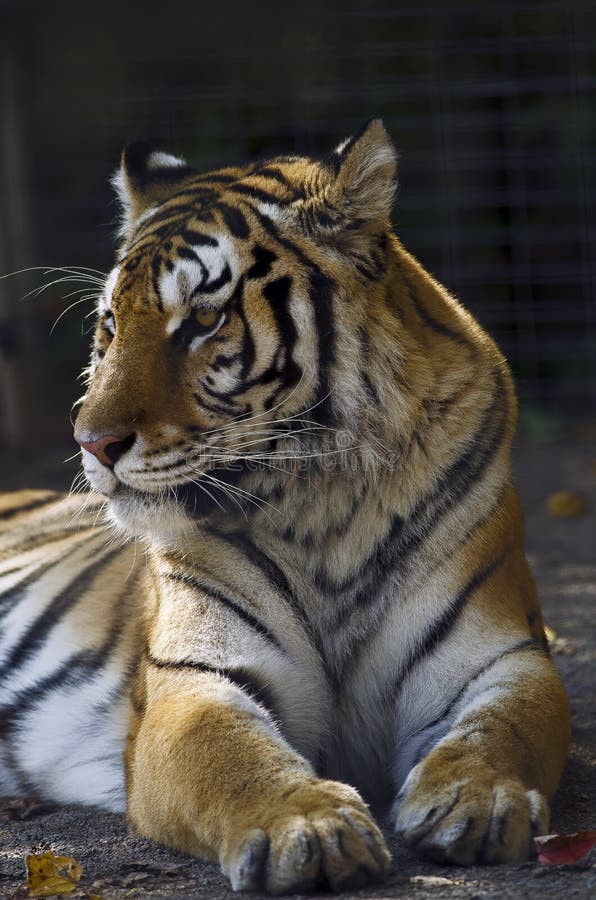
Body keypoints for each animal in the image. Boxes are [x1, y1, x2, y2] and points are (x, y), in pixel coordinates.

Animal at [0, 119, 570, 894]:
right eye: (111, 324)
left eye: (203, 319)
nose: (92, 442)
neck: (328, 507)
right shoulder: (194, 683)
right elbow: (232, 760)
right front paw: (307, 826)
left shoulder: (503, 656)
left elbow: (504, 730)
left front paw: (477, 798)